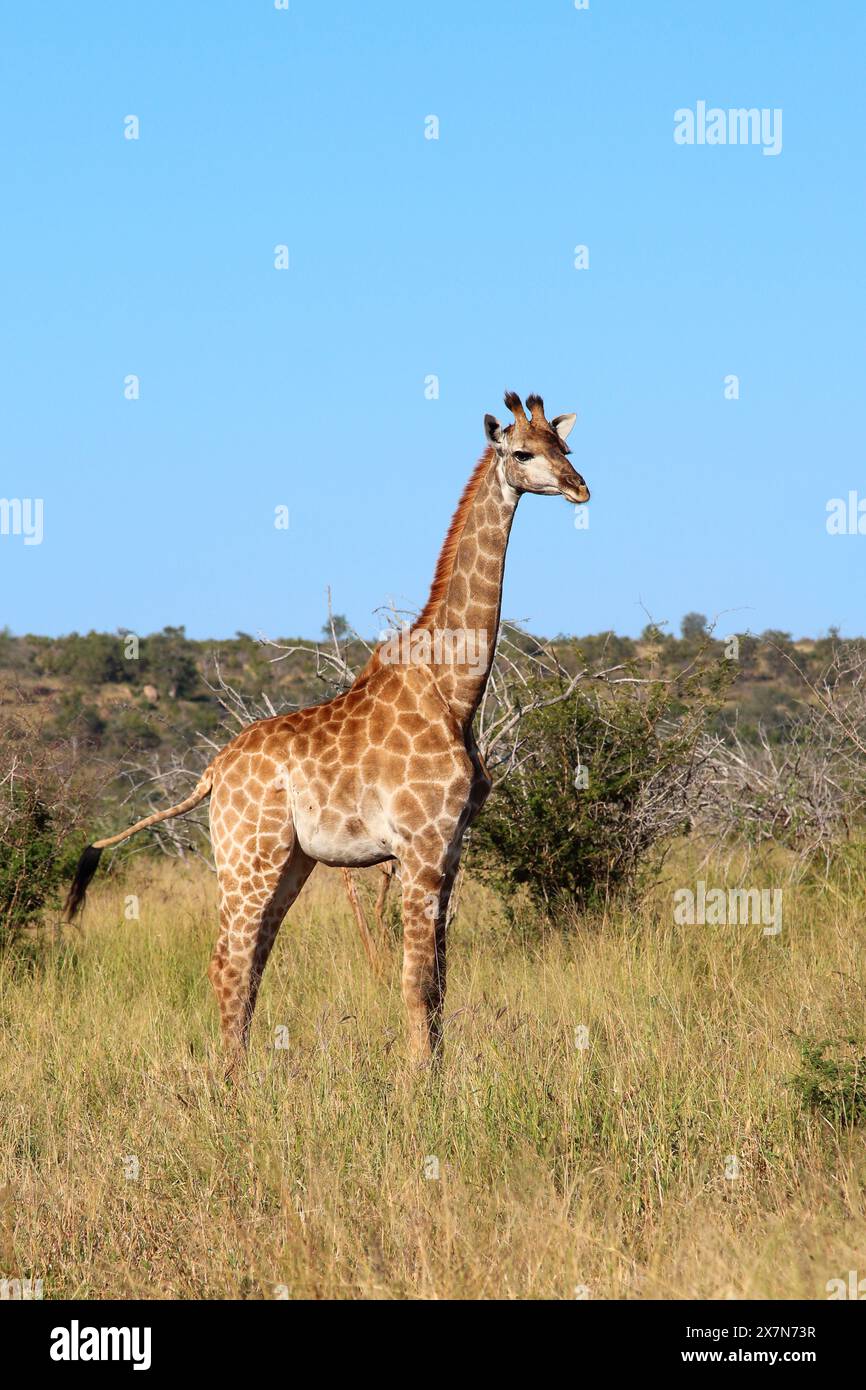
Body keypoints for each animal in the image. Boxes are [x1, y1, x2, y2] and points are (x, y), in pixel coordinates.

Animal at [65, 392, 589, 1074]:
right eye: (522, 453)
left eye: (565, 447)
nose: (580, 487)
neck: (456, 691)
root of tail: (212, 773)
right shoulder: (419, 846)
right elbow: (417, 981)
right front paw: (419, 1085)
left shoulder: (450, 848)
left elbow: (441, 981)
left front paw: (437, 1075)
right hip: (248, 854)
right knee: (227, 959)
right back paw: (231, 1084)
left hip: (290, 860)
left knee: (252, 958)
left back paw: (245, 1073)